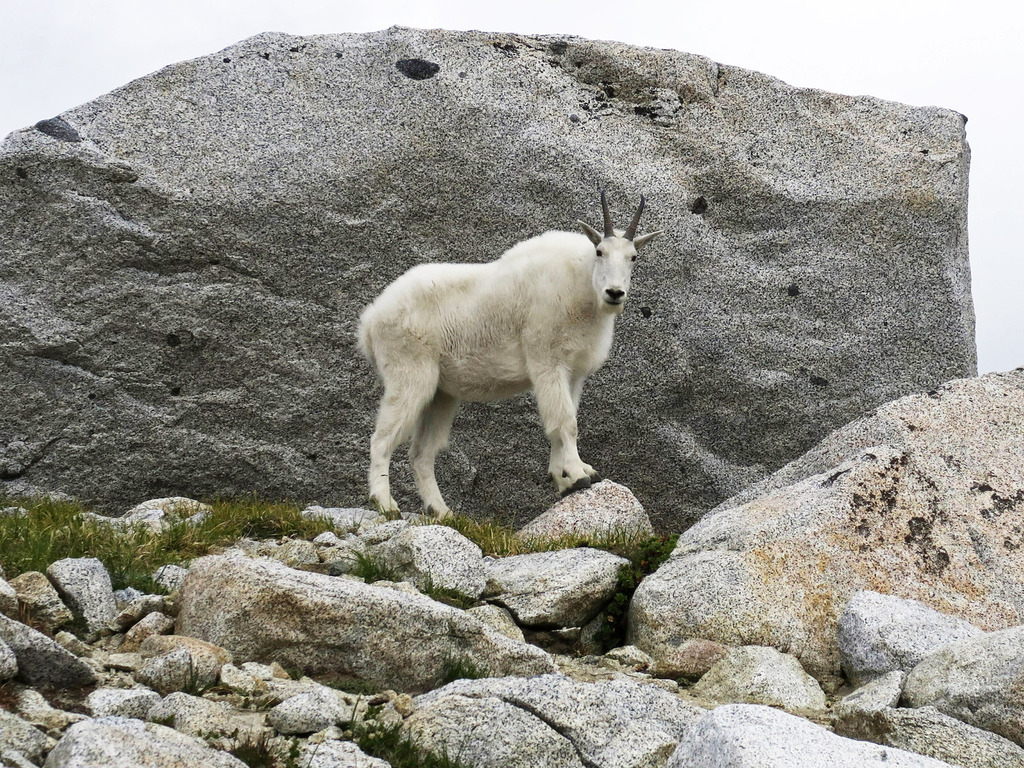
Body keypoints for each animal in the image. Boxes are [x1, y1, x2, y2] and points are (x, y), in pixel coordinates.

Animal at [357, 193, 661, 517]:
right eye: (600, 251)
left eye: (634, 257)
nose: (614, 293)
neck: (583, 289)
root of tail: (370, 321)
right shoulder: (547, 362)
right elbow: (566, 422)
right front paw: (580, 475)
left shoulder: (572, 373)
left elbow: (563, 423)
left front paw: (565, 478)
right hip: (409, 374)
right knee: (382, 440)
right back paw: (385, 504)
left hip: (441, 394)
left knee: (421, 453)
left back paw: (442, 511)